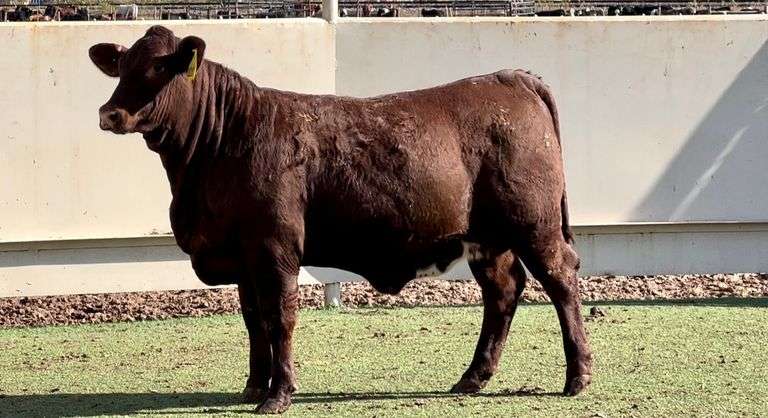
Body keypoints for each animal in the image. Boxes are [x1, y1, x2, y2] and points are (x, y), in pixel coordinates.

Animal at [89, 25, 593, 414]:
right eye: (123, 64)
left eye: (159, 67)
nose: (109, 113)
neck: (219, 145)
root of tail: (511, 78)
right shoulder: (244, 255)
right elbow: (253, 319)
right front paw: (253, 386)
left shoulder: (275, 247)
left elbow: (279, 317)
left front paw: (278, 395)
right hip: (487, 239)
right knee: (503, 291)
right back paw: (472, 377)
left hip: (535, 226)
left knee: (561, 282)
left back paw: (578, 376)